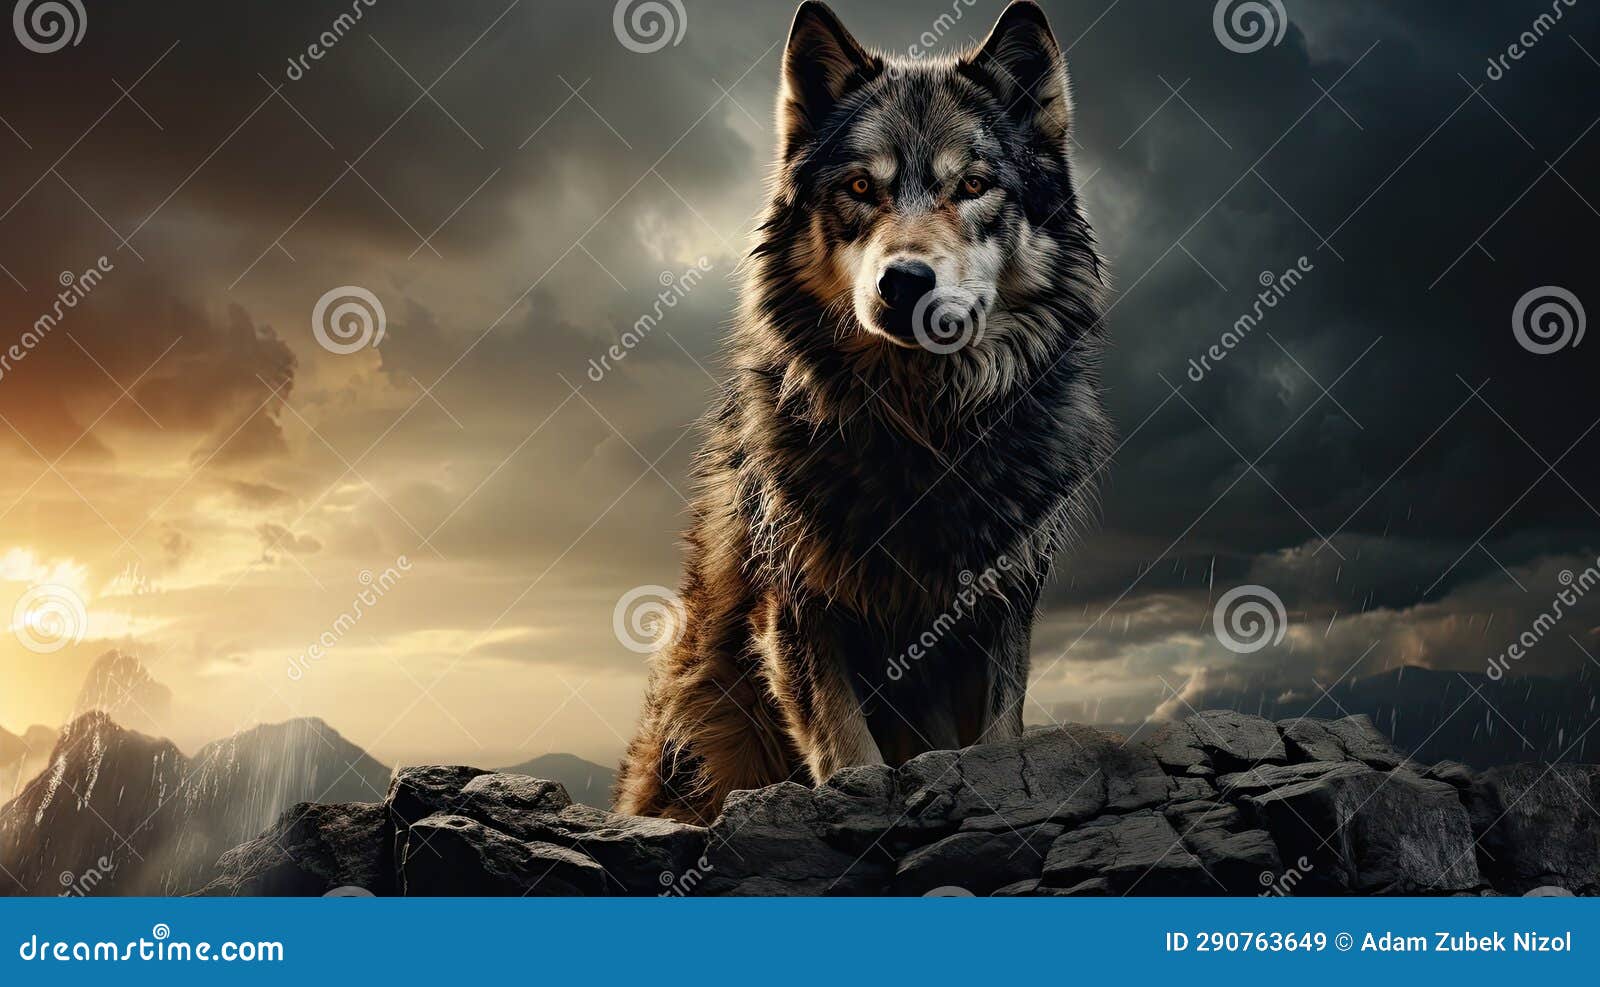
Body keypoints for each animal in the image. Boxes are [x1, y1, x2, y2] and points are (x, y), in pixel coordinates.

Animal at [616, 0, 1112, 824]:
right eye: (858, 186)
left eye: (973, 185)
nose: (904, 282)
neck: (923, 429)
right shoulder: (798, 606)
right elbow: (848, 748)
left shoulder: (1001, 602)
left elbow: (998, 735)